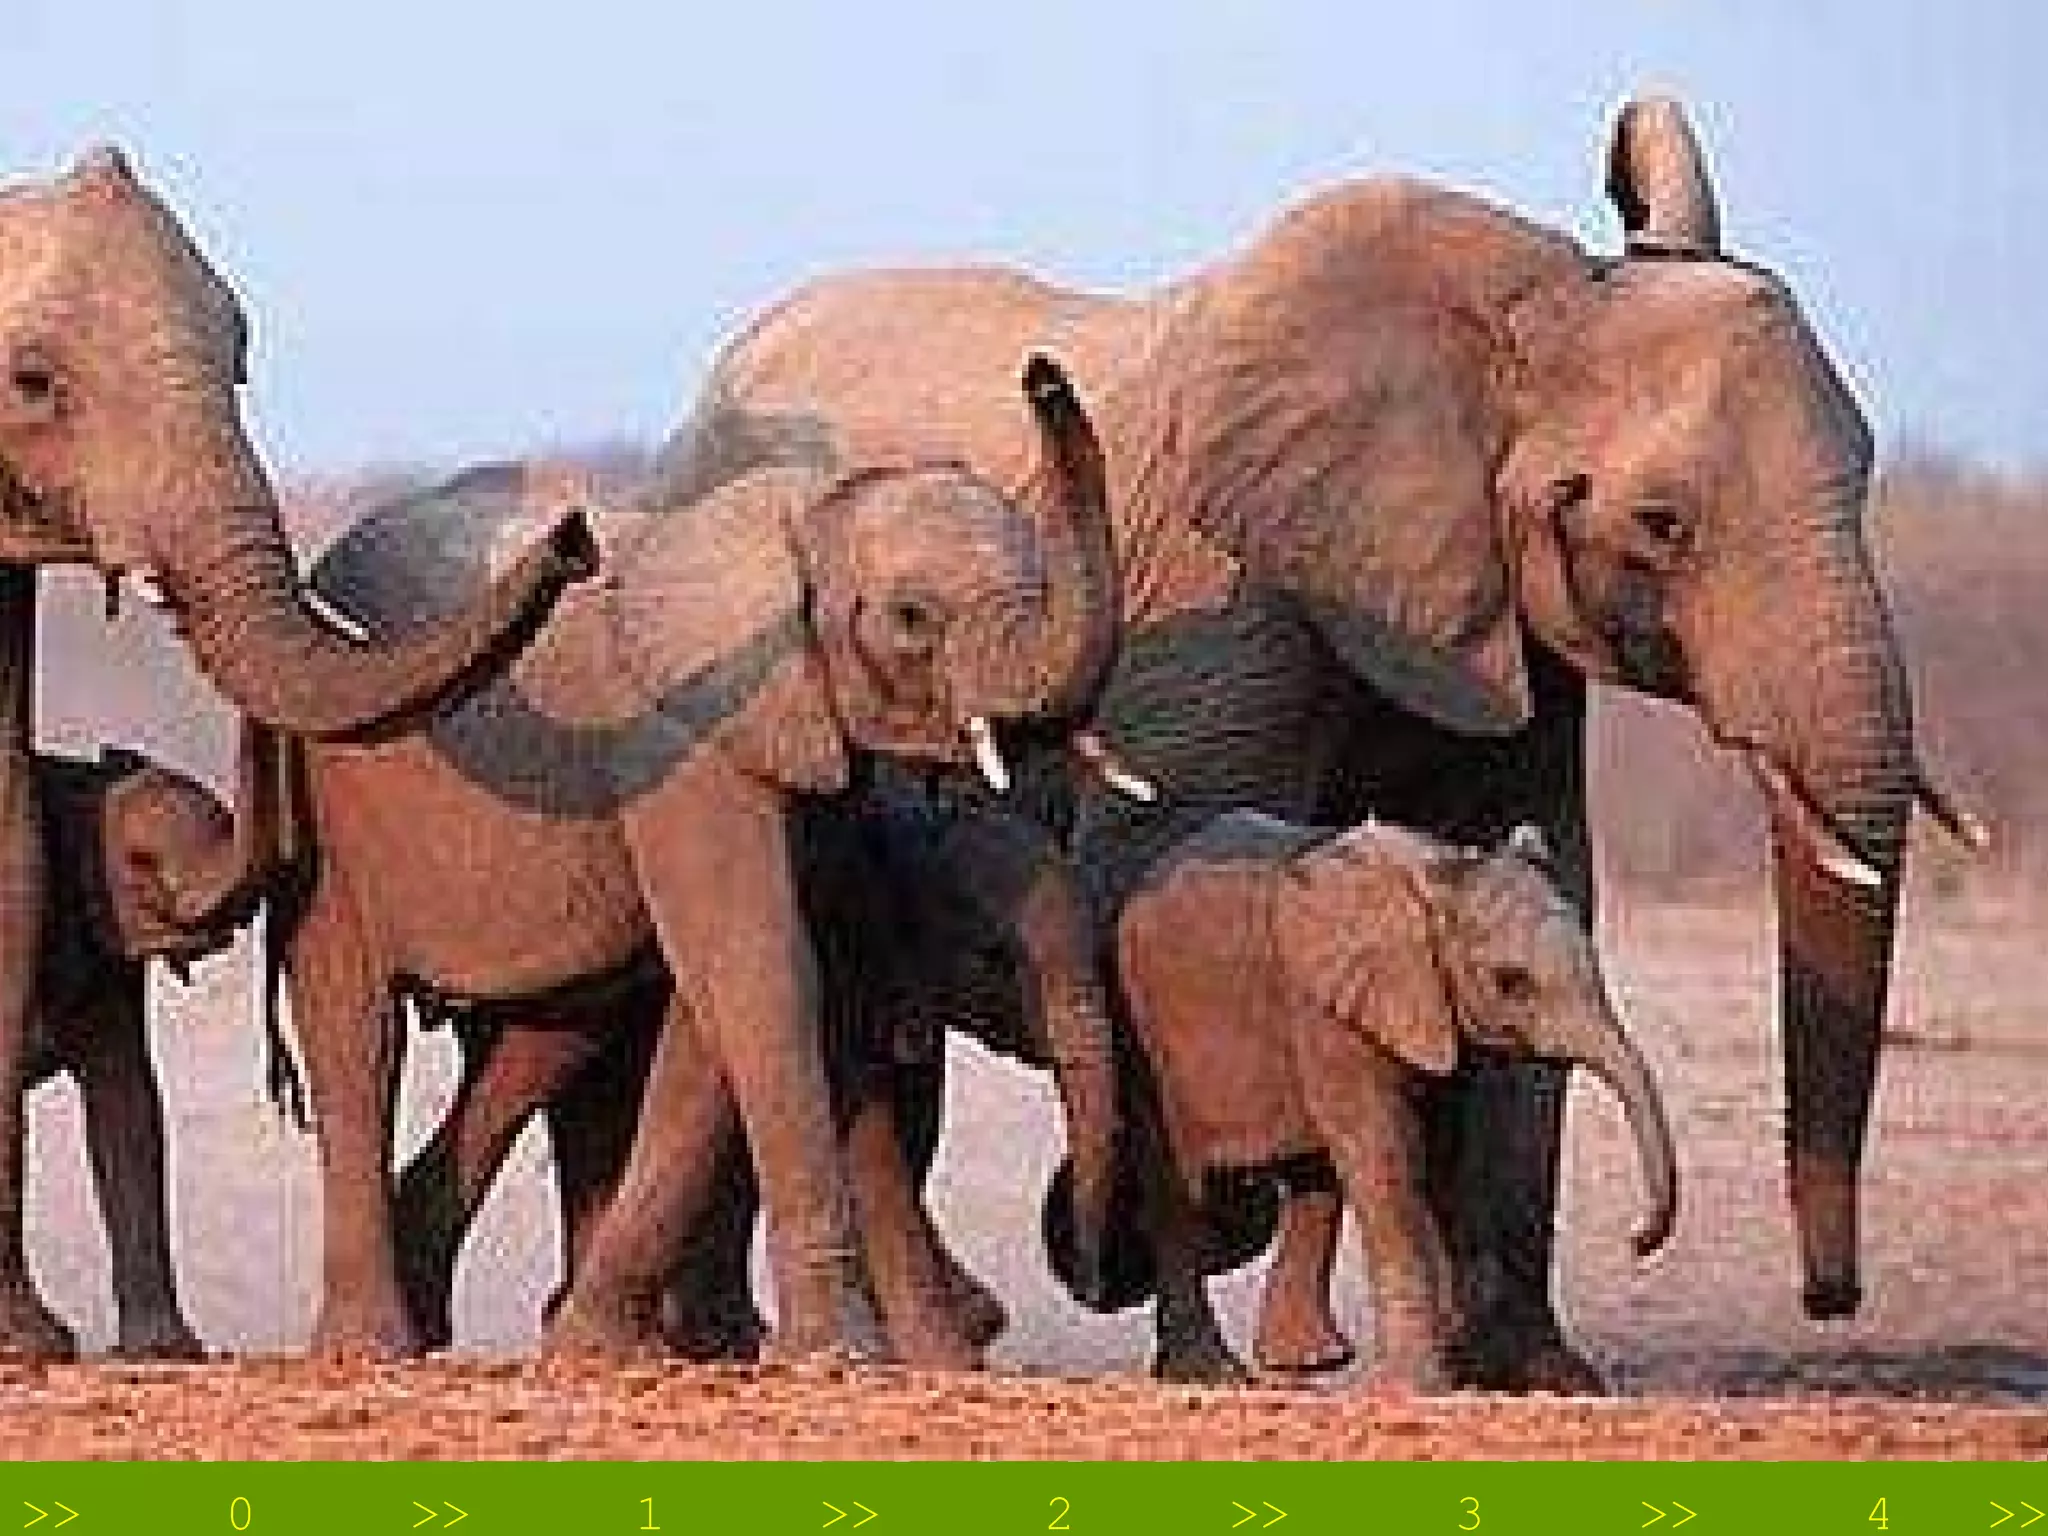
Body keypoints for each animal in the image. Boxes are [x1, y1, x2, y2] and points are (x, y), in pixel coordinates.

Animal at [264, 355, 1130, 1359]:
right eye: (913, 617)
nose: (1042, 372)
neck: (795, 517)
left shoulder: (799, 752)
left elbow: (728, 1006)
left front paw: (599, 1348)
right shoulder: (689, 742)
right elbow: (758, 970)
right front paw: (836, 1356)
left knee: (543, 1041)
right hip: (332, 799)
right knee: (356, 1031)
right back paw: (370, 1346)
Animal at [1112, 813, 1677, 1388]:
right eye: (1509, 982)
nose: (1636, 1240)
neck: (1443, 872)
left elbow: (1448, 1157)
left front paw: (1467, 1370)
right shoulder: (1327, 1008)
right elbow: (1383, 1152)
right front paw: (1418, 1385)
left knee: (1313, 1177)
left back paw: (1307, 1363)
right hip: (1144, 1027)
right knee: (1176, 1186)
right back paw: (1215, 1374)